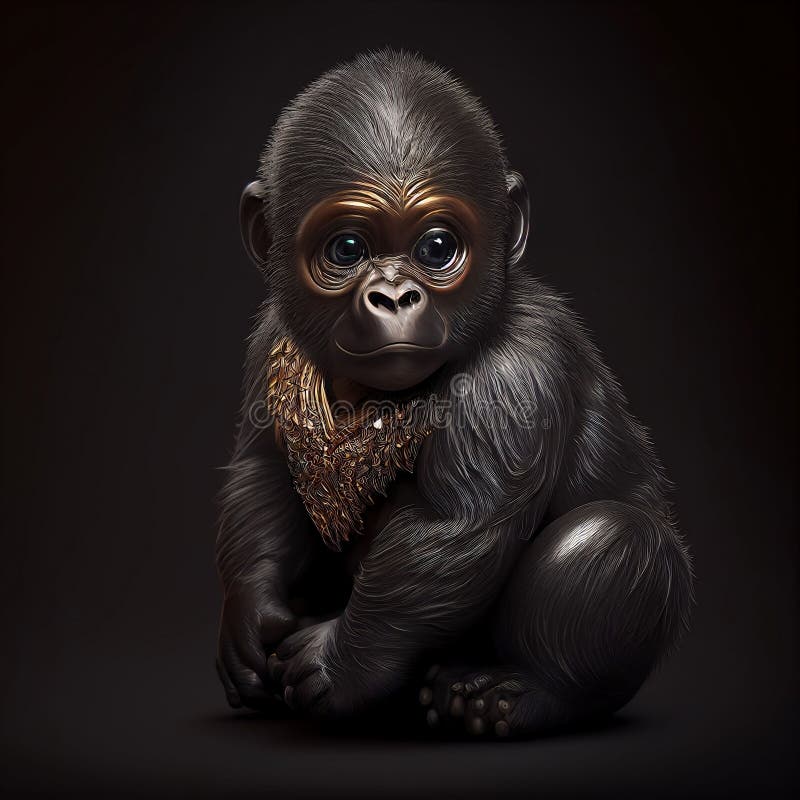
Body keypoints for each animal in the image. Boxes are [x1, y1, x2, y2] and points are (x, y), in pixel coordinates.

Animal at [215, 49, 693, 738]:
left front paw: (340, 664)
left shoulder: (514, 375)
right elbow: (261, 472)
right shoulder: (269, 337)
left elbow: (457, 529)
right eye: (348, 248)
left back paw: (527, 693)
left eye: (437, 247)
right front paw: (248, 614)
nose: (393, 296)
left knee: (613, 541)